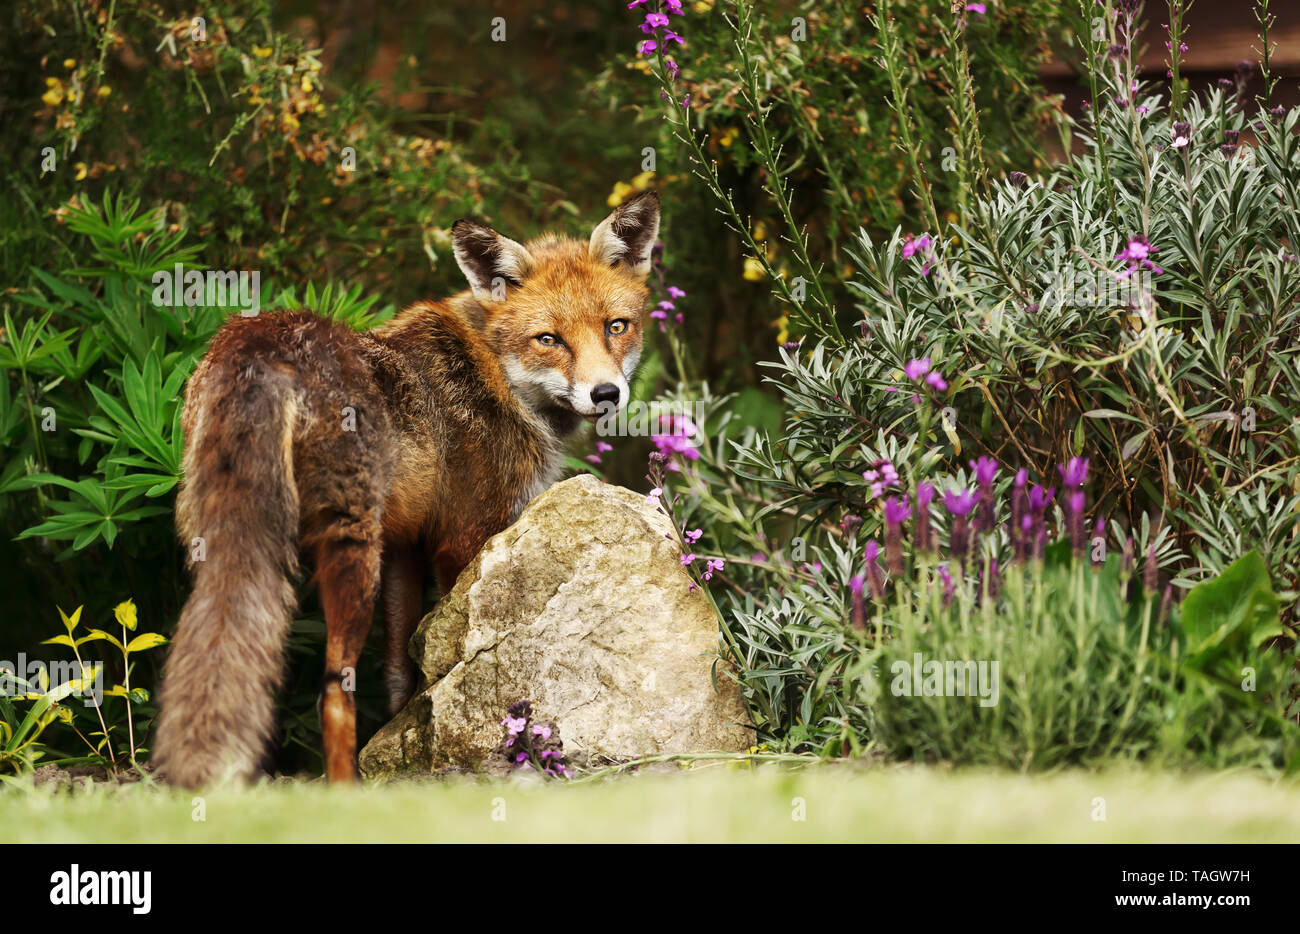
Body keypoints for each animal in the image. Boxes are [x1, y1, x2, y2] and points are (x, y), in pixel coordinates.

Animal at [152, 191, 660, 787]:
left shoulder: (406, 548)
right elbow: (450, 649)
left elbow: (402, 676)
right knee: (334, 692)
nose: (606, 393)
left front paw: (404, 750)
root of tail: (261, 342)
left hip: (226, 535)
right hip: (352, 553)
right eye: (549, 340)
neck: (496, 375)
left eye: (616, 326)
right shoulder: (465, 538)